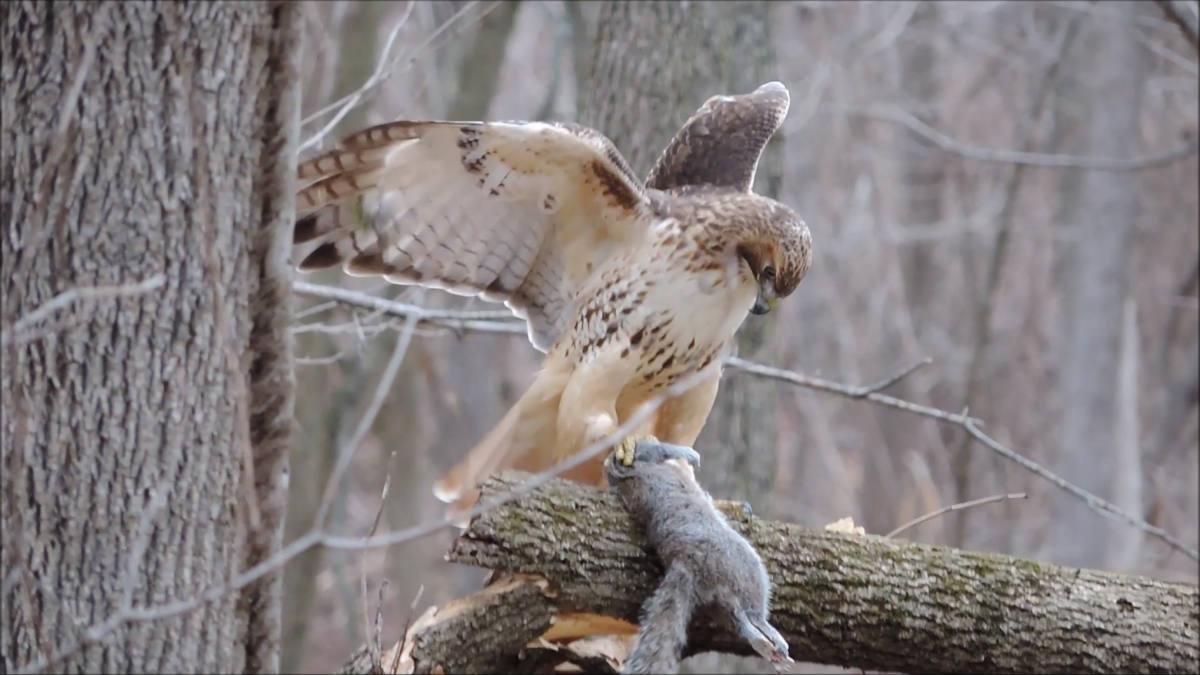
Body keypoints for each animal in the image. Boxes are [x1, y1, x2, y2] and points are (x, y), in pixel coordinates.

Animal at [604, 437, 792, 674]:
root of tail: (687, 565)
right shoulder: (646, 456)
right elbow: (661, 450)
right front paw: (689, 454)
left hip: (715, 599)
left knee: (737, 620)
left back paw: (759, 641)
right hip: (743, 564)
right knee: (751, 613)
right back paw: (766, 630)